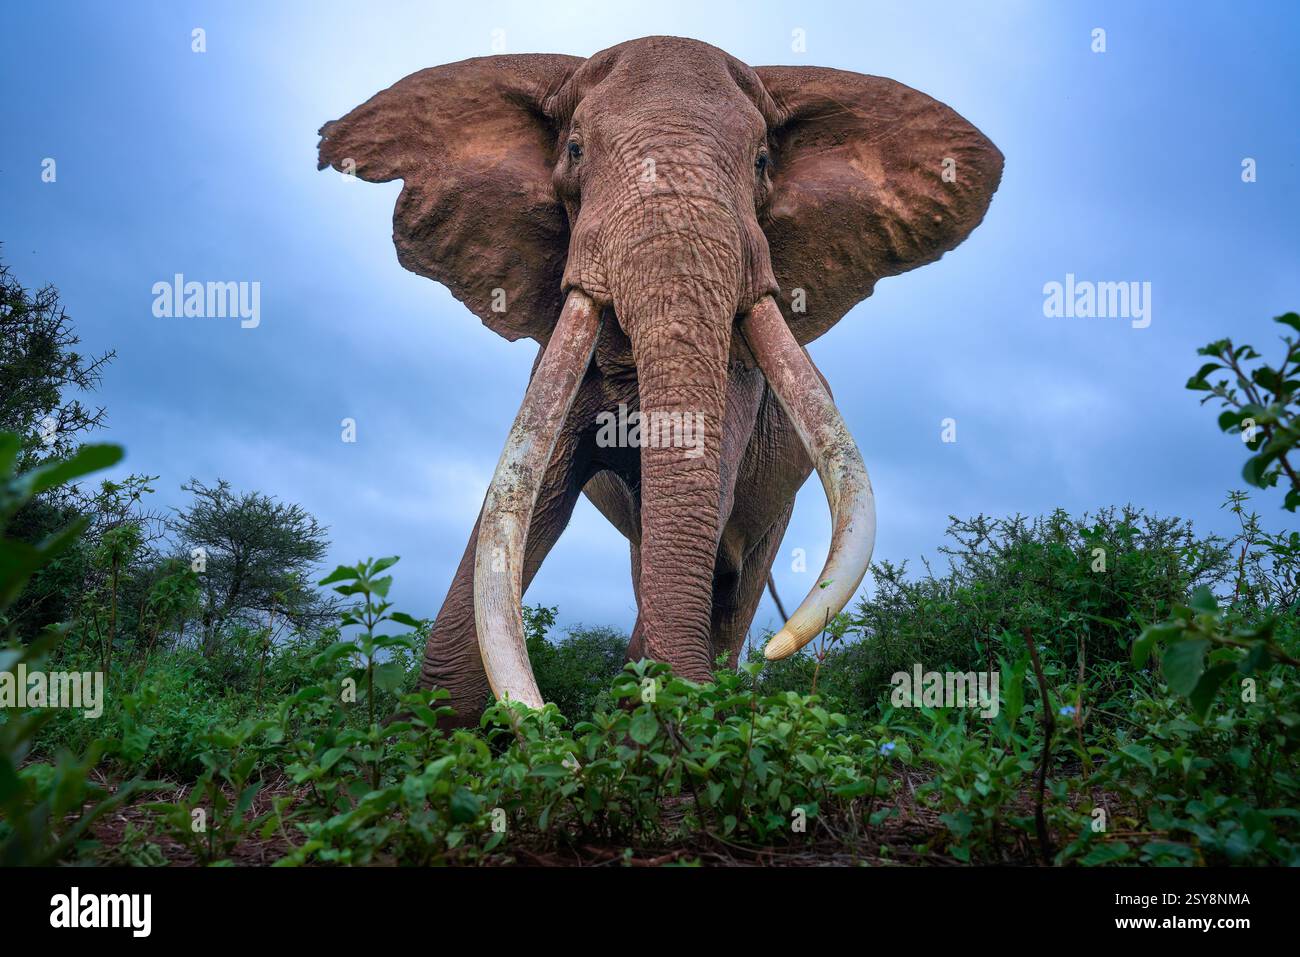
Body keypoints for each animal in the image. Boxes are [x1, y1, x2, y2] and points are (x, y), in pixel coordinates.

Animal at [317, 35, 1002, 724]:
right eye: (574, 150)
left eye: (762, 161)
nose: (548, 719)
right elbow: (523, 511)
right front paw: (442, 731)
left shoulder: (741, 382)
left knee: (735, 583)